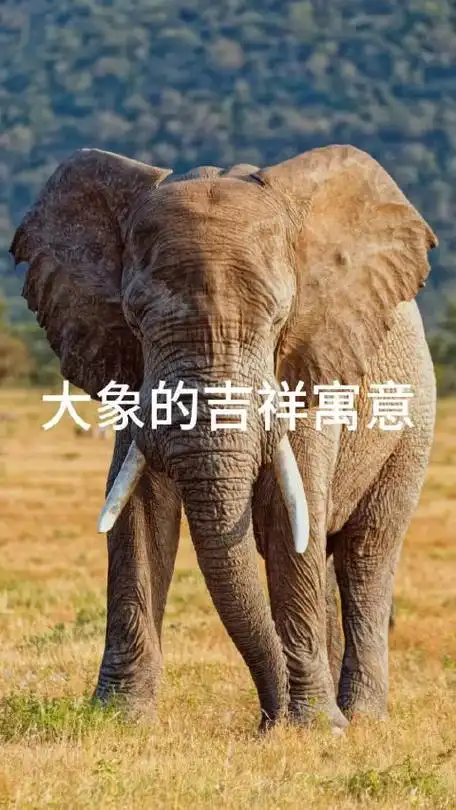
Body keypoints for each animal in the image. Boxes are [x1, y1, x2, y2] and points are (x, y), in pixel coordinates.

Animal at [10, 144, 437, 732]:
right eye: (134, 320)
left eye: (279, 319)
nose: (268, 720)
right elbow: (138, 514)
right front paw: (121, 720)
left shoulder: (310, 363)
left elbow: (286, 518)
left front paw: (314, 728)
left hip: (412, 428)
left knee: (366, 553)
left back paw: (362, 719)